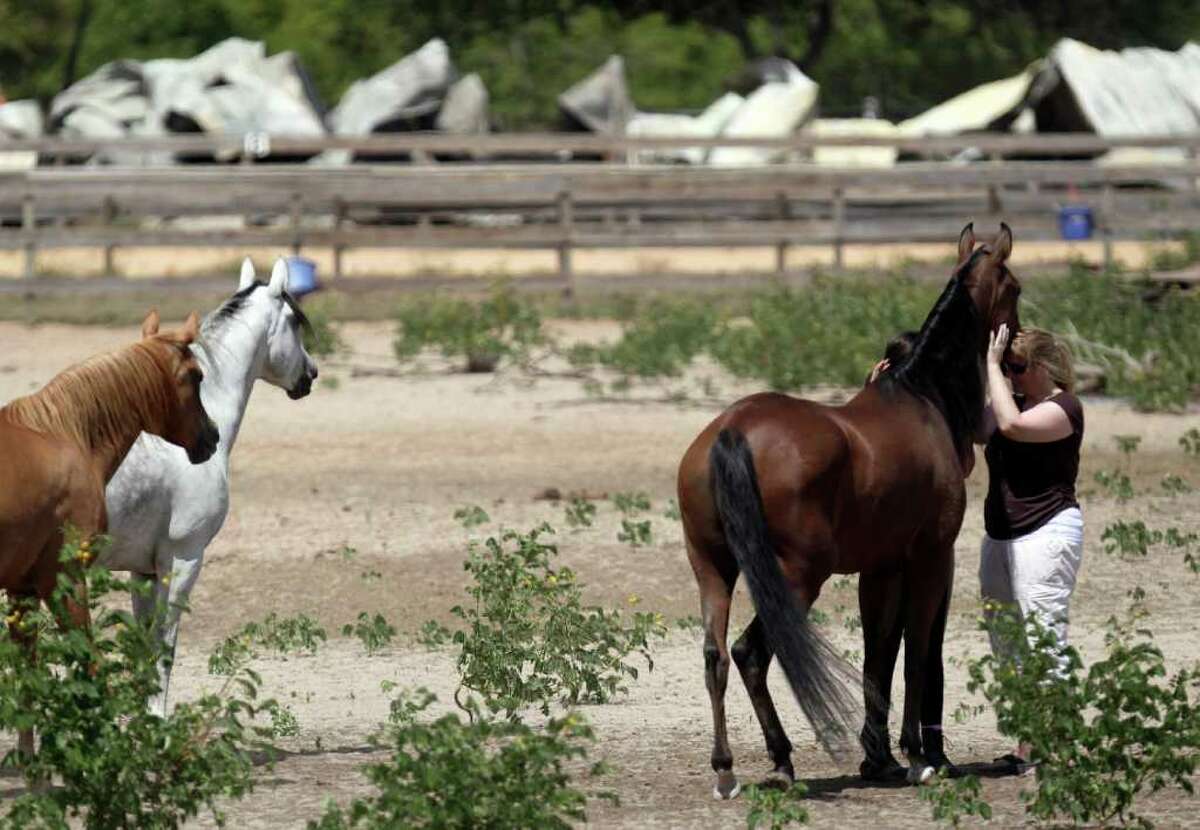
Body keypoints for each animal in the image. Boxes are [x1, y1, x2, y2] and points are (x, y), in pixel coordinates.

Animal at [0, 310, 219, 754]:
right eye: (196, 375)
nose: (212, 436)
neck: (63, 432)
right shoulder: (63, 579)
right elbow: (88, 663)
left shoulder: (21, 588)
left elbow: (27, 672)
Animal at [101, 257, 319, 716]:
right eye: (294, 321)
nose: (311, 373)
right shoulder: (183, 560)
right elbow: (165, 646)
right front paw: (158, 719)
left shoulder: (142, 570)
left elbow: (144, 645)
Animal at [677, 223, 1021, 798]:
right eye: (1014, 288)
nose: (1017, 351)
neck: (920, 396)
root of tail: (733, 428)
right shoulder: (930, 559)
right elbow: (918, 652)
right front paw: (920, 756)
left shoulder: (880, 569)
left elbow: (879, 652)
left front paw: (879, 758)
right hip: (797, 578)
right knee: (751, 654)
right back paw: (782, 761)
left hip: (714, 570)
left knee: (716, 655)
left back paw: (726, 769)